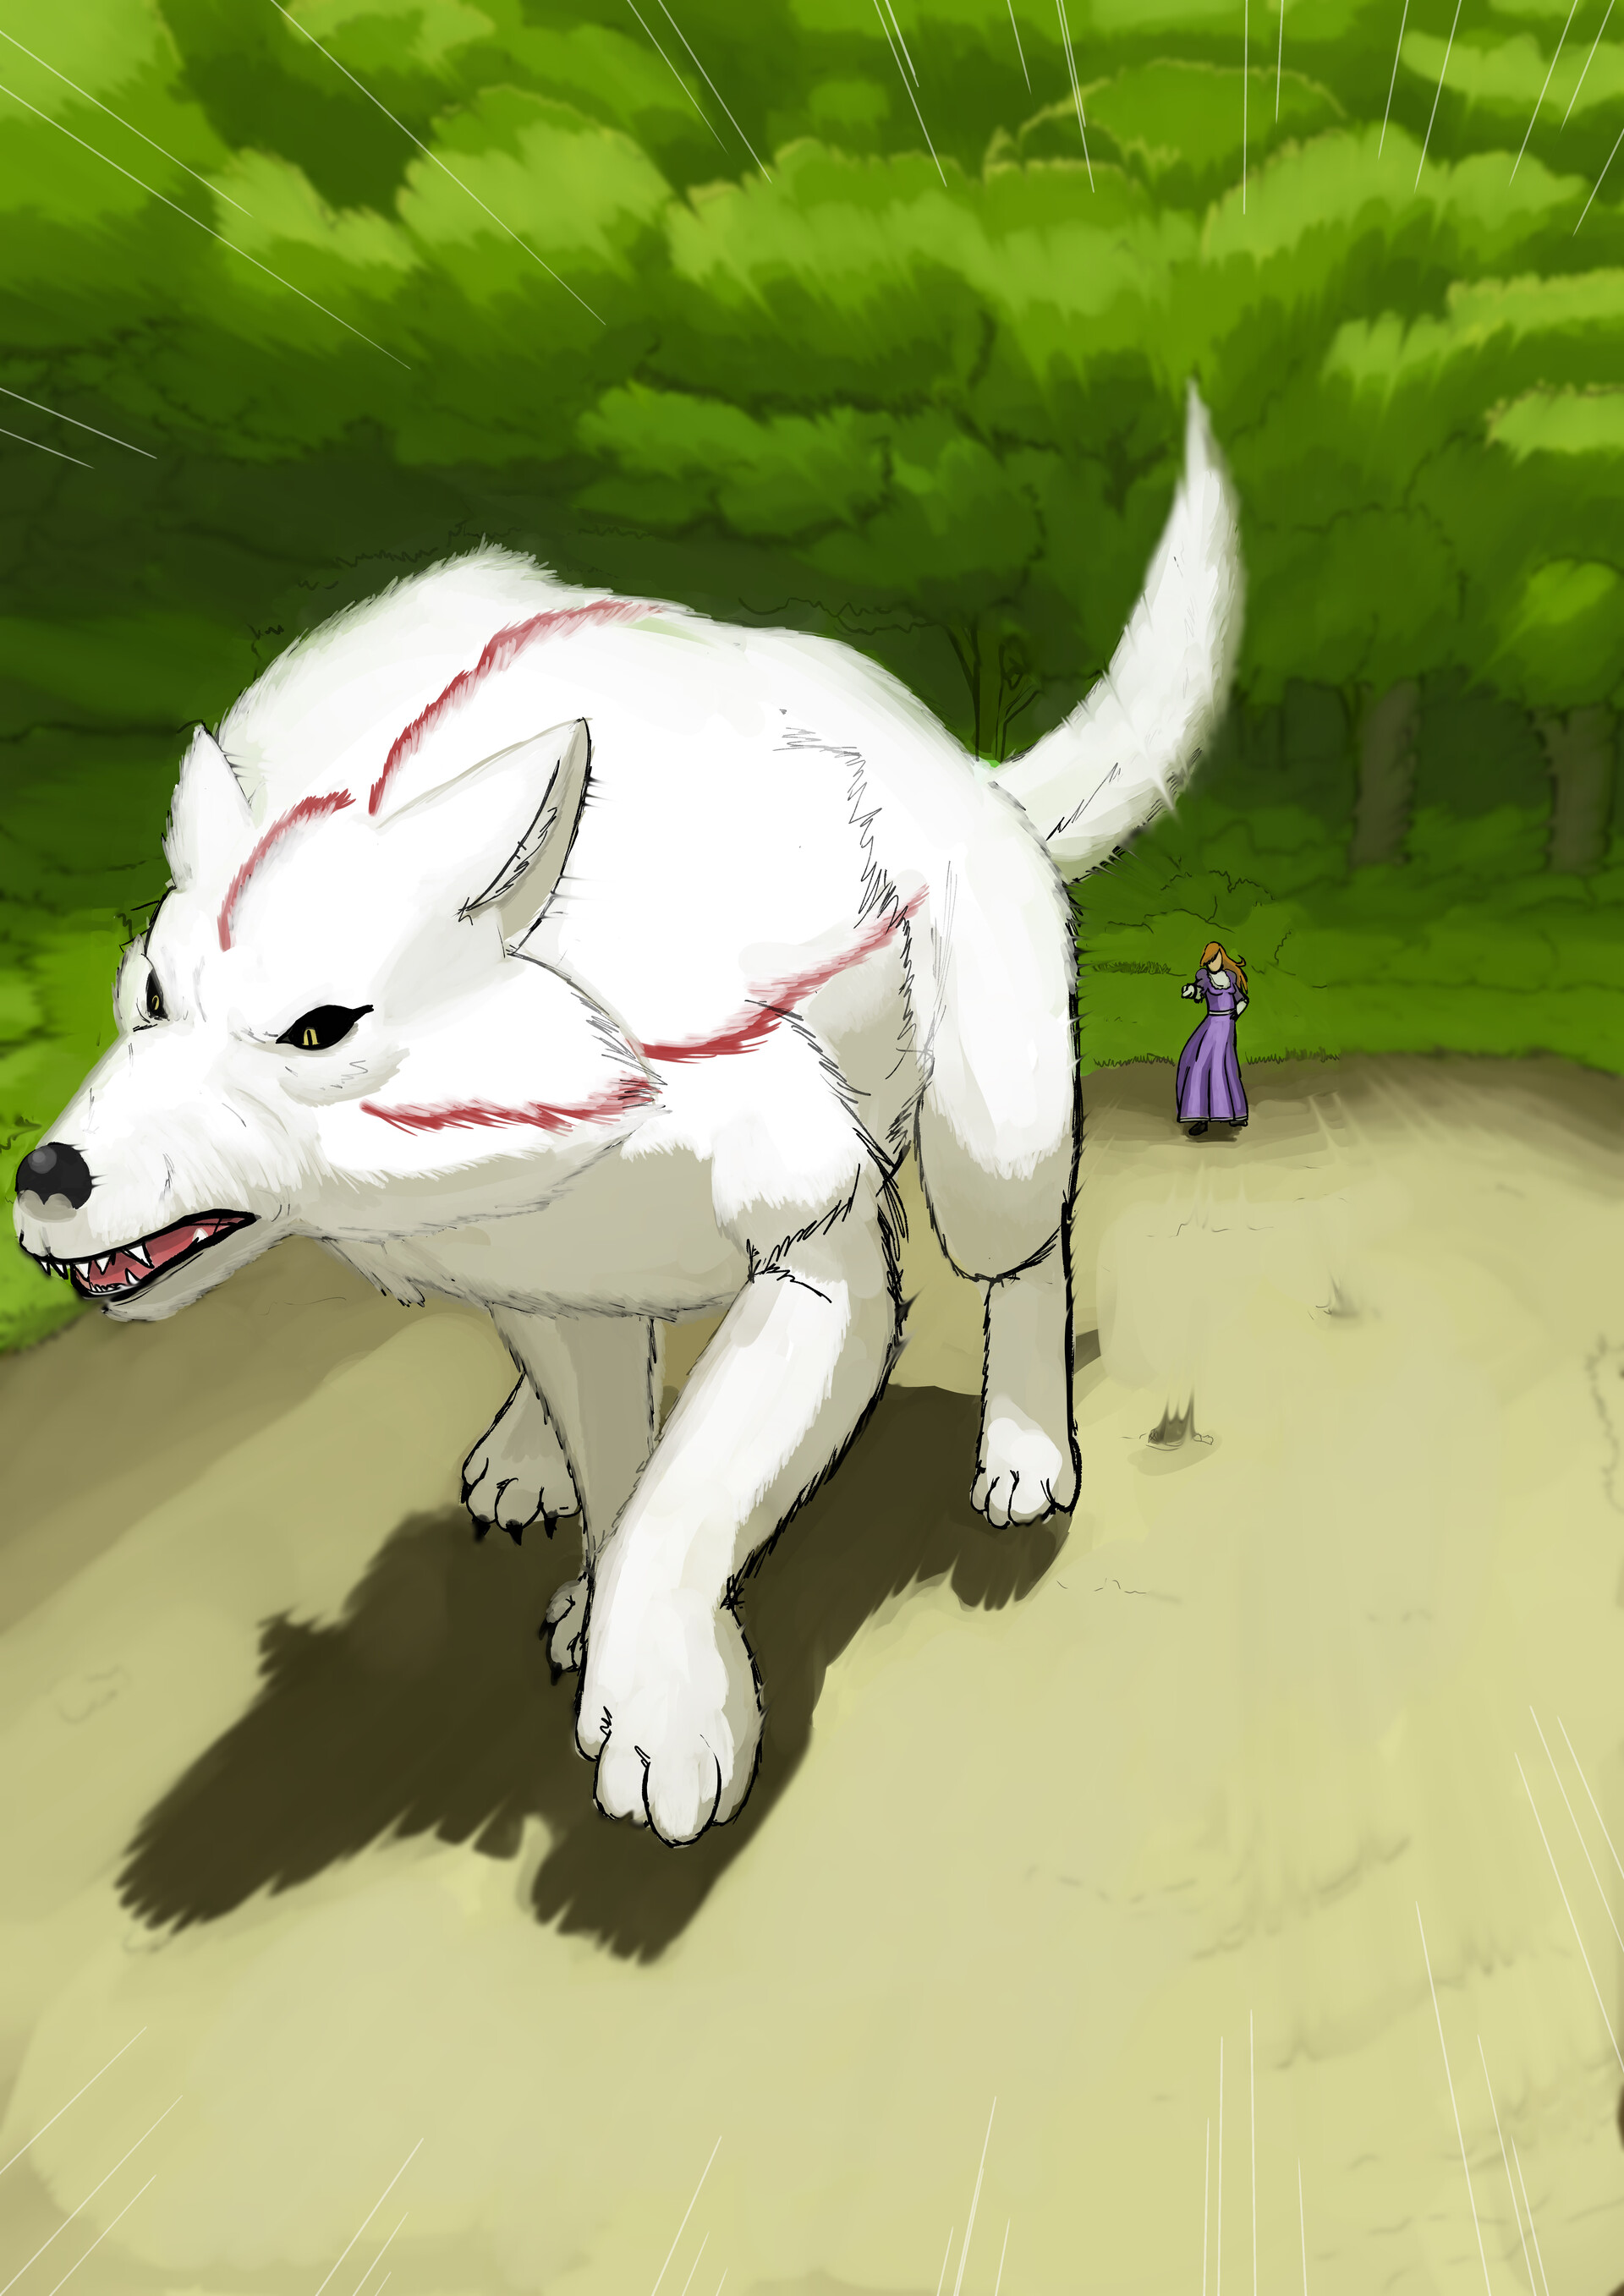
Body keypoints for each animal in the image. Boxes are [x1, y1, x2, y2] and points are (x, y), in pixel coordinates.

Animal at [14, 385, 1242, 1843]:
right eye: (148, 996)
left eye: (320, 1030)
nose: (44, 1173)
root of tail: (973, 769)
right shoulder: (562, 1290)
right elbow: (623, 1473)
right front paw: (597, 1598)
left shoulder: (824, 1255)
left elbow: (684, 1501)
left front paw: (666, 1720)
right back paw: (520, 1457)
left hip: (991, 1142)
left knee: (1024, 1258)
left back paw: (1024, 1455)